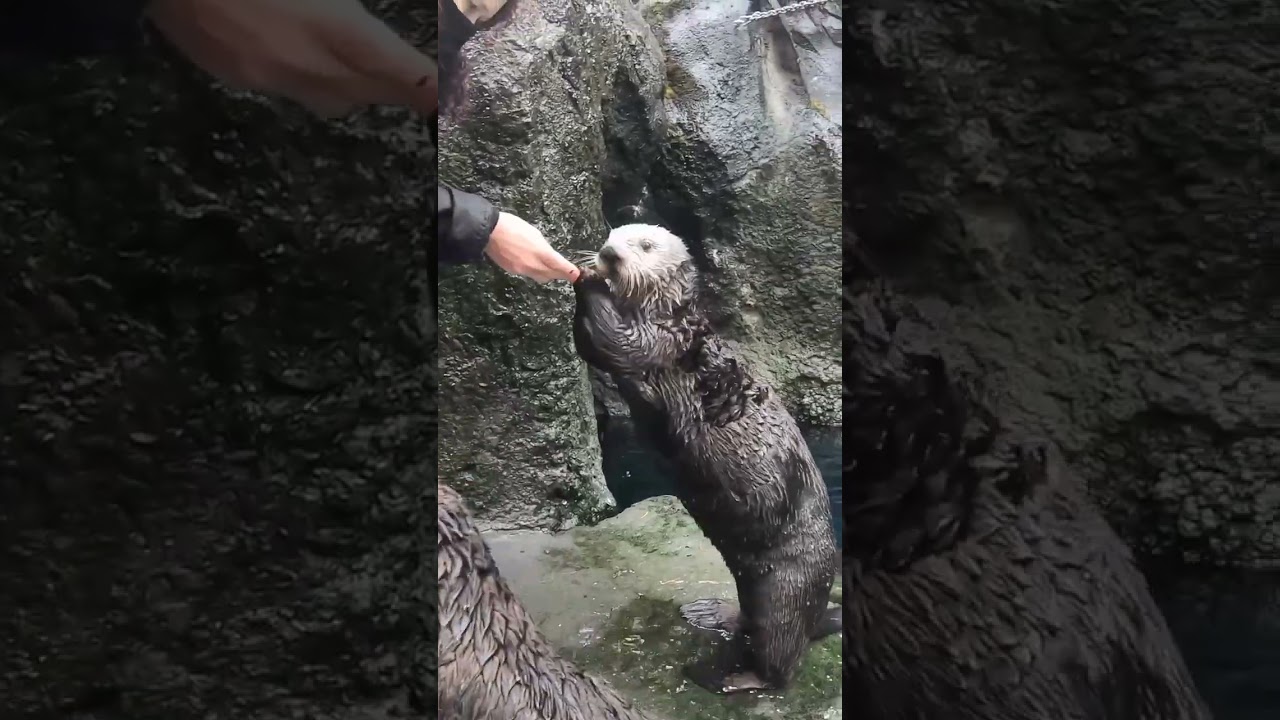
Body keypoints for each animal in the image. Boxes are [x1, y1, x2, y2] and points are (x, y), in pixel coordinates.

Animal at [571, 224, 840, 695]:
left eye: (645, 246)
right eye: (612, 235)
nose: (608, 255)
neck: (664, 312)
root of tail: (818, 615)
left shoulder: (662, 342)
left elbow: (617, 343)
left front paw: (588, 280)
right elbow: (594, 347)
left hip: (786, 590)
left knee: (781, 665)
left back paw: (728, 678)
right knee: (748, 623)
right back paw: (712, 614)